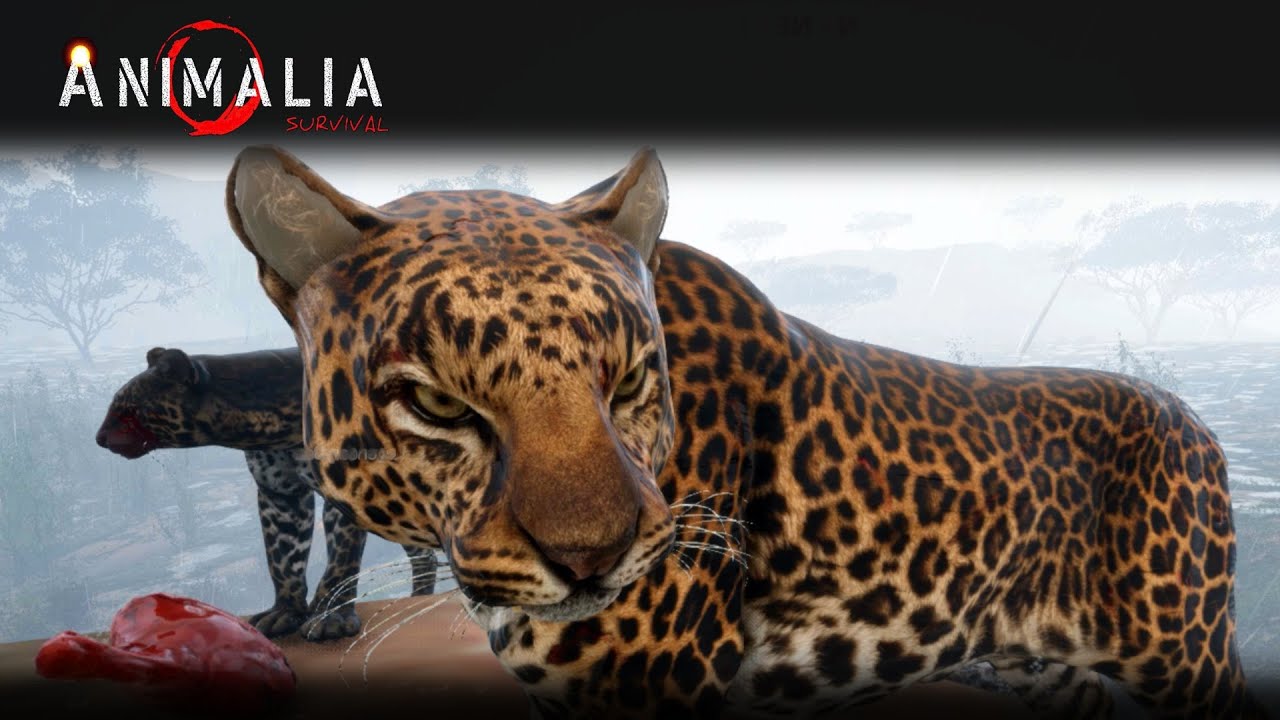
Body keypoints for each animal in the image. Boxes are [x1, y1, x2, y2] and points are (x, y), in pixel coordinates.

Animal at [95, 345, 439, 641]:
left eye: (126, 409)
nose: (99, 439)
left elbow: (341, 558)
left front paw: (330, 618)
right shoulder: (280, 495)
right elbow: (283, 558)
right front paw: (284, 613)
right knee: (424, 554)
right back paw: (418, 601)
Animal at [220, 143, 1264, 719]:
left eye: (630, 380)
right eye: (439, 405)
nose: (597, 560)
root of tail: (1188, 415)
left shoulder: (646, 679)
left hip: (1183, 648)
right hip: (1038, 660)